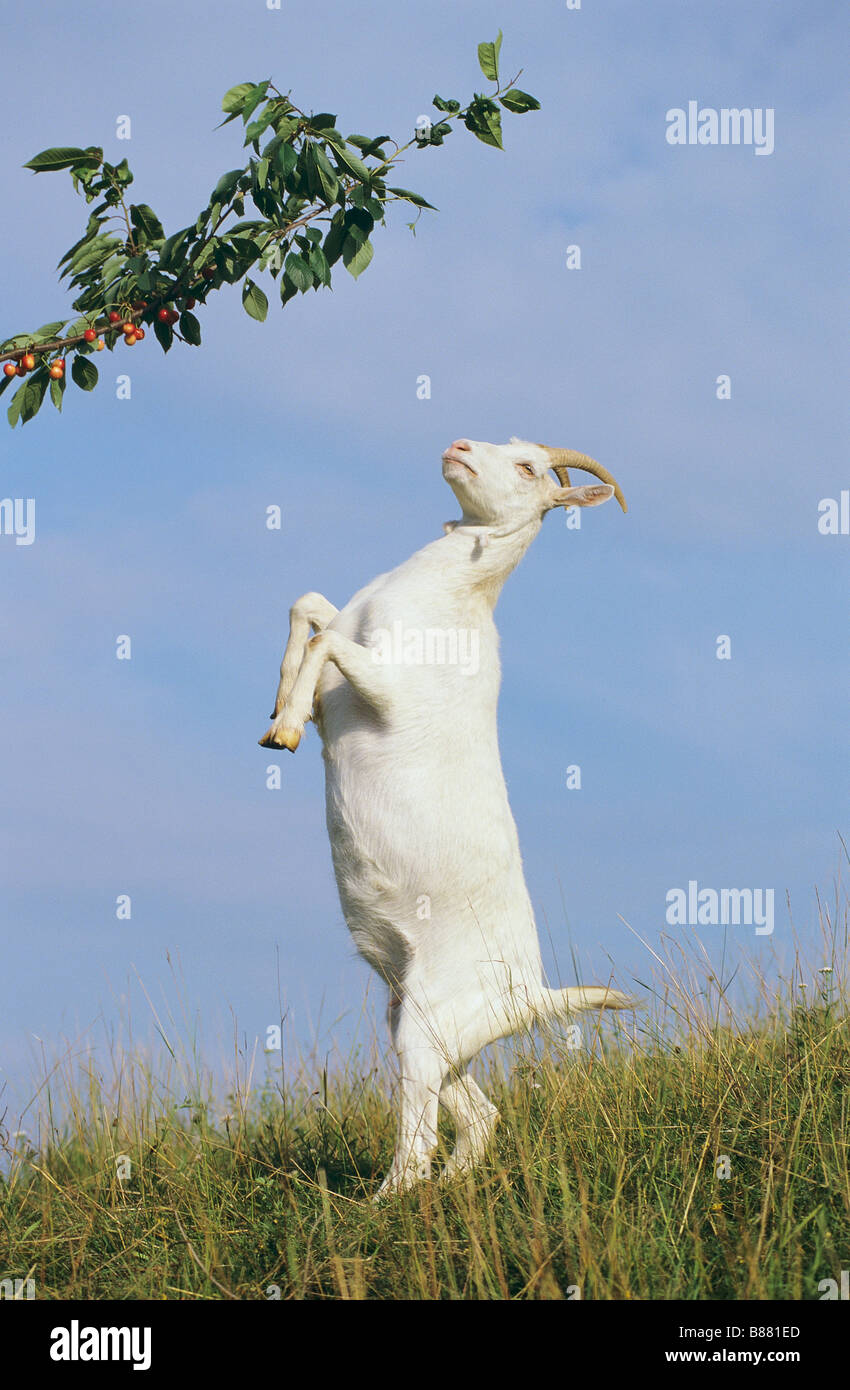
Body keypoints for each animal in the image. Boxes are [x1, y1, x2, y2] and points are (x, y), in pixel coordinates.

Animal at [259, 438, 635, 1197]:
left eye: (529, 469)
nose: (459, 447)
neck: (452, 595)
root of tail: (529, 996)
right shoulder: (343, 638)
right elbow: (308, 607)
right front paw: (278, 711)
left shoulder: (388, 686)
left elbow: (325, 643)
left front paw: (284, 730)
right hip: (421, 1027)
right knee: (479, 1116)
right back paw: (452, 1187)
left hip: (427, 1027)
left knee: (418, 1145)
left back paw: (380, 1206)